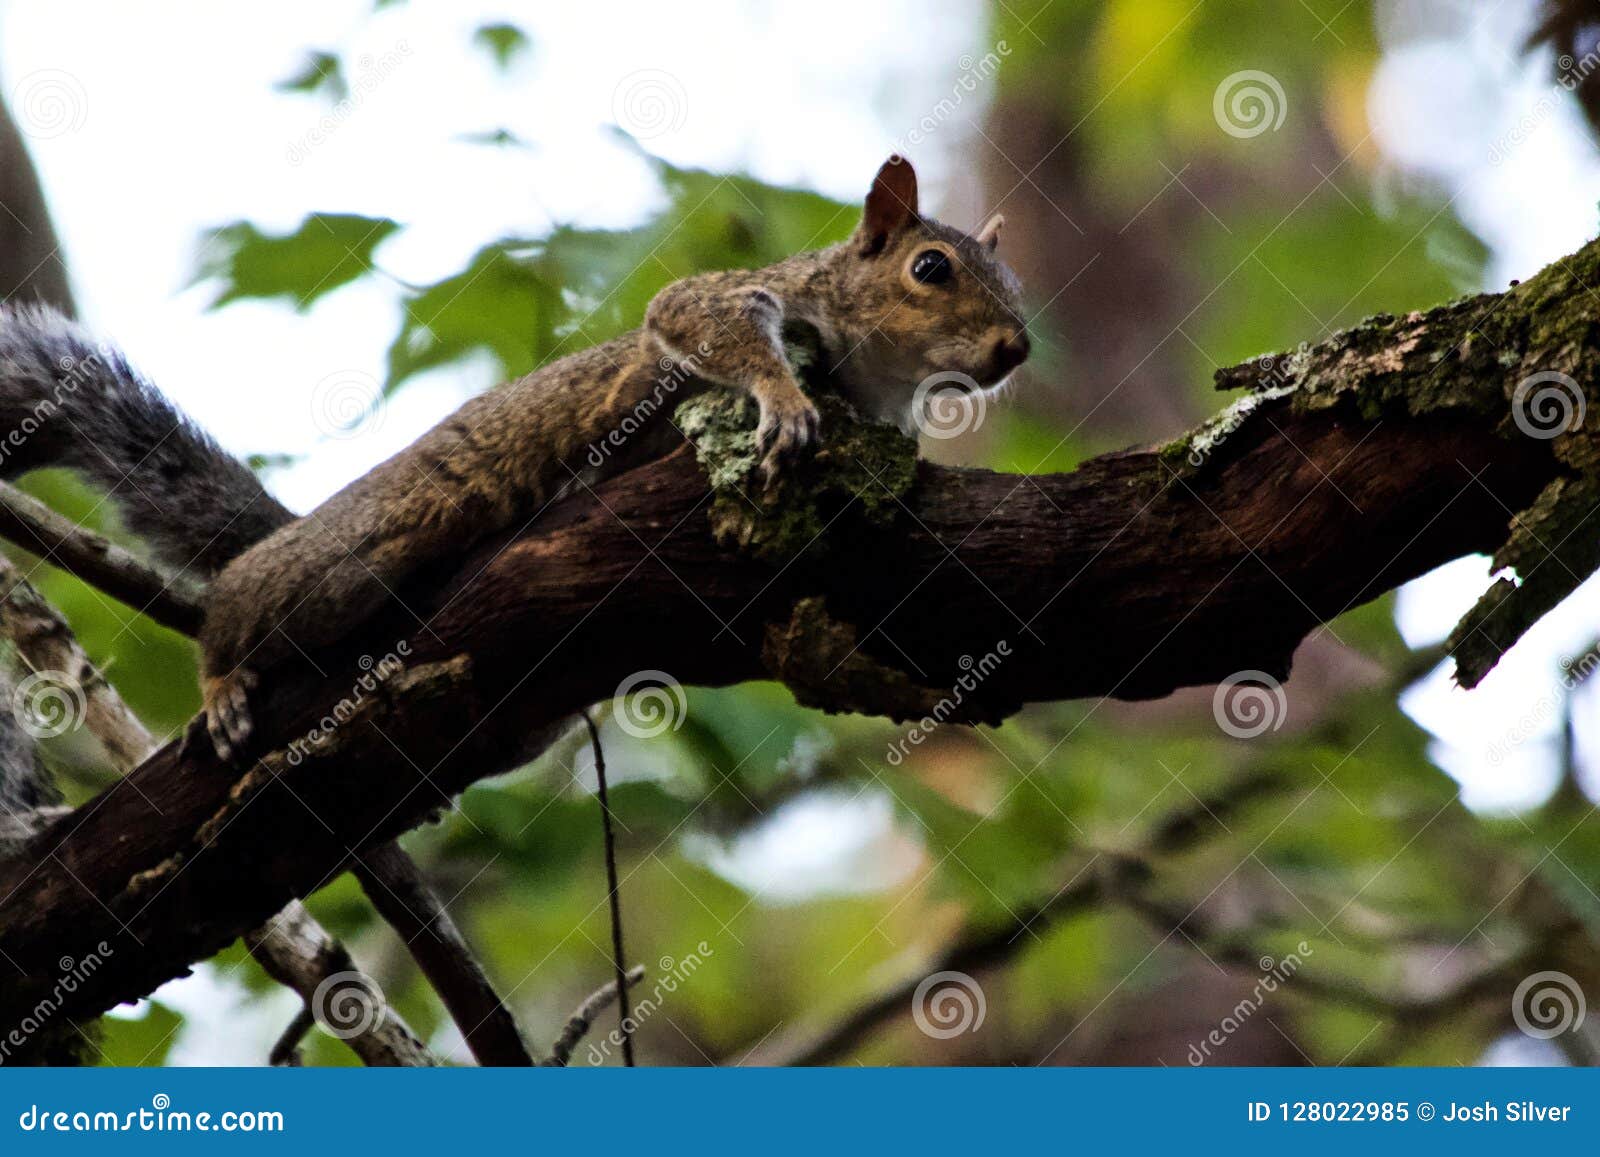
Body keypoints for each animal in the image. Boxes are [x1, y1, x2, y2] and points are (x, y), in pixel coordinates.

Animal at [0, 156, 1029, 763]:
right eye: (930, 268)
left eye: (1012, 281)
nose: (1015, 348)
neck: (876, 372)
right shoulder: (734, 299)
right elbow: (701, 319)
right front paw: (783, 401)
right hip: (362, 550)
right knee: (249, 592)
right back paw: (223, 679)